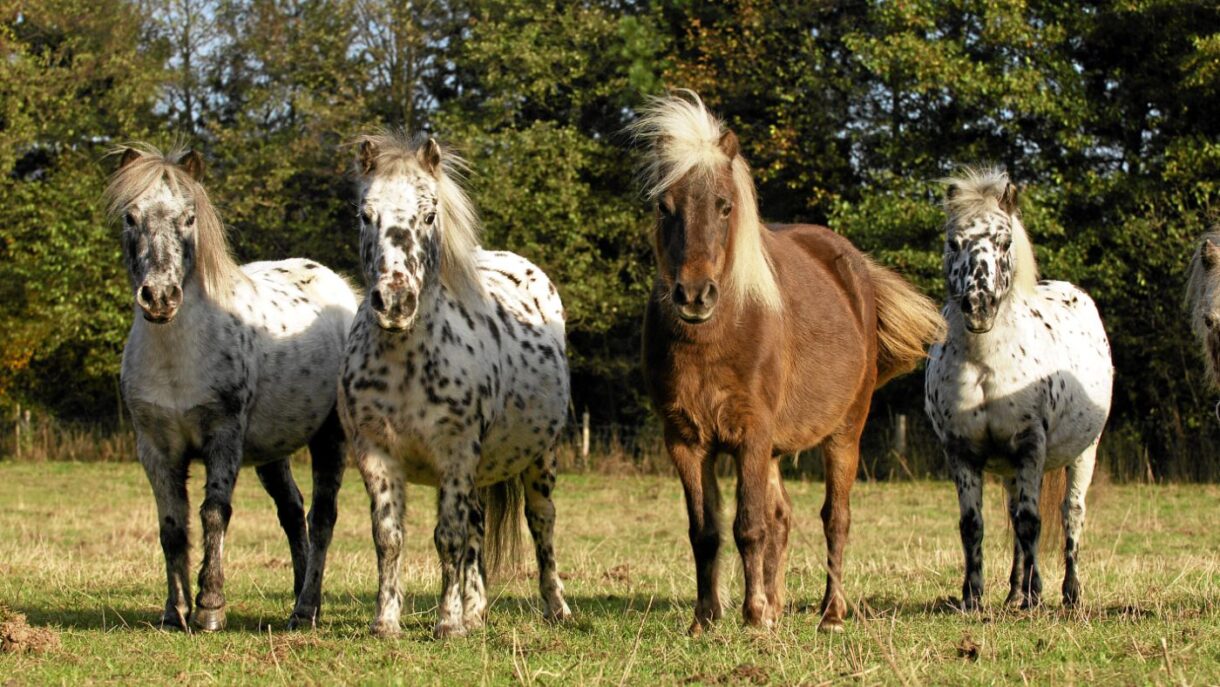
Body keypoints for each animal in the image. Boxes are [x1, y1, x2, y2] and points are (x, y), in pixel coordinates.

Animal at [105, 145, 358, 631]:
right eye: (131, 216)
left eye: (189, 218)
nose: (160, 297)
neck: (178, 357)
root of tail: (342, 291)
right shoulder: (155, 447)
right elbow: (172, 525)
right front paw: (174, 612)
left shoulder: (223, 437)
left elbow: (213, 513)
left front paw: (209, 607)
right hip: (273, 452)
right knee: (292, 512)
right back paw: (301, 598)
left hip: (329, 437)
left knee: (321, 517)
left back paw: (306, 610)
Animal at [339, 131, 572, 639]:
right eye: (365, 214)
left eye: (429, 215)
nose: (395, 301)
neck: (405, 365)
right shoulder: (376, 455)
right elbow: (389, 539)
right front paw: (387, 622)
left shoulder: (455, 453)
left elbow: (447, 539)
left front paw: (447, 624)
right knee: (477, 532)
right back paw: (477, 612)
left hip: (540, 460)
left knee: (541, 524)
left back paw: (556, 608)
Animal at [629, 92, 946, 634]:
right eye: (663, 206)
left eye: (724, 205)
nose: (694, 295)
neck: (715, 337)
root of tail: (855, 269)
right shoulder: (686, 441)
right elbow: (706, 532)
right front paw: (706, 619)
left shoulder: (752, 433)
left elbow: (749, 526)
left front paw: (754, 615)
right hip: (776, 448)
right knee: (783, 517)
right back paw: (778, 605)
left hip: (844, 434)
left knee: (834, 519)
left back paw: (830, 613)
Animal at [924, 166, 1113, 611]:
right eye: (953, 242)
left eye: (1005, 241)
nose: (978, 307)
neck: (985, 363)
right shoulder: (961, 450)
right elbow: (973, 525)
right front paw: (973, 596)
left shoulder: (1030, 444)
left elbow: (1031, 522)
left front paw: (1036, 596)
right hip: (1013, 467)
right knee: (1013, 515)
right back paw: (1013, 591)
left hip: (1083, 452)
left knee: (1069, 513)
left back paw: (1068, 594)